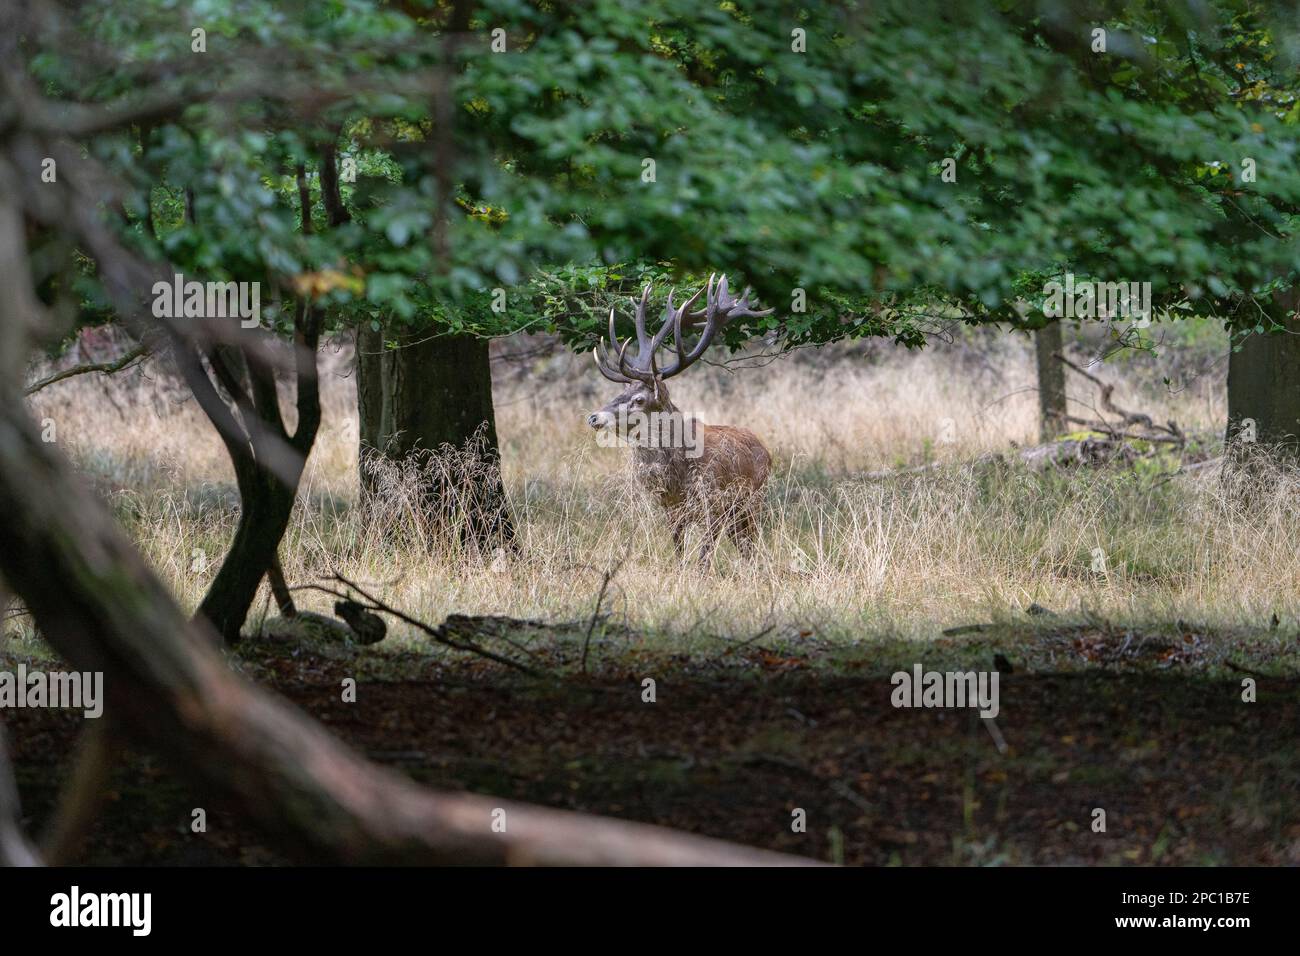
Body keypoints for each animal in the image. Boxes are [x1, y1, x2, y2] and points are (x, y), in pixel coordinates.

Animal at [587, 275, 773, 566]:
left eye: (639, 399)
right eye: (620, 393)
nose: (594, 417)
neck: (679, 478)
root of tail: (766, 451)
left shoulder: (713, 504)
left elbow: (703, 560)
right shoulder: (672, 509)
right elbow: (678, 554)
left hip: (752, 501)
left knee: (751, 546)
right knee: (746, 547)